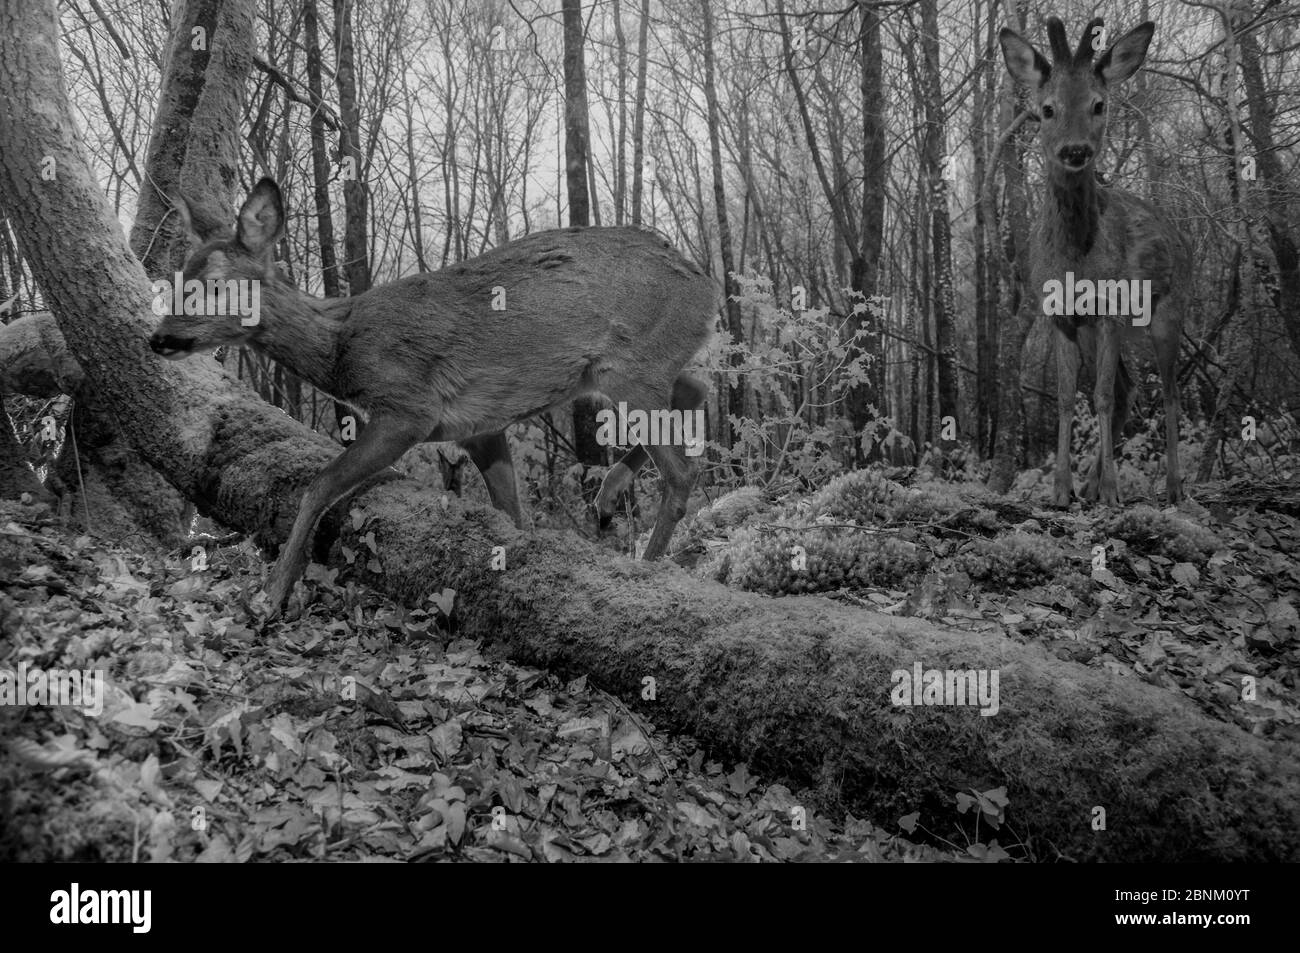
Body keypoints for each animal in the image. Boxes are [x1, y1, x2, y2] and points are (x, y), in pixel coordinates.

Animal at [149, 178, 716, 613]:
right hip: (621, 372)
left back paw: (645, 562)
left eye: (216, 285)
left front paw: (274, 594)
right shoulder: (480, 428)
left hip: (632, 364)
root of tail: (705, 284)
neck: (340, 347)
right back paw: (608, 497)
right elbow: (512, 515)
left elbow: (319, 483)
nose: (159, 338)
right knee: (697, 387)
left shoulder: (409, 406)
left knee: (683, 467)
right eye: (179, 279)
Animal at [999, 16, 1189, 507]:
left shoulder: (1111, 310)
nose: (1075, 150)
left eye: (1099, 104)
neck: (1074, 260)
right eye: (1047, 109)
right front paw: (1061, 489)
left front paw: (1111, 492)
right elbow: (1068, 397)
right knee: (1128, 388)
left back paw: (1173, 487)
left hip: (1169, 308)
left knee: (1169, 392)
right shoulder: (1061, 315)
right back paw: (1089, 483)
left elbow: (1099, 395)